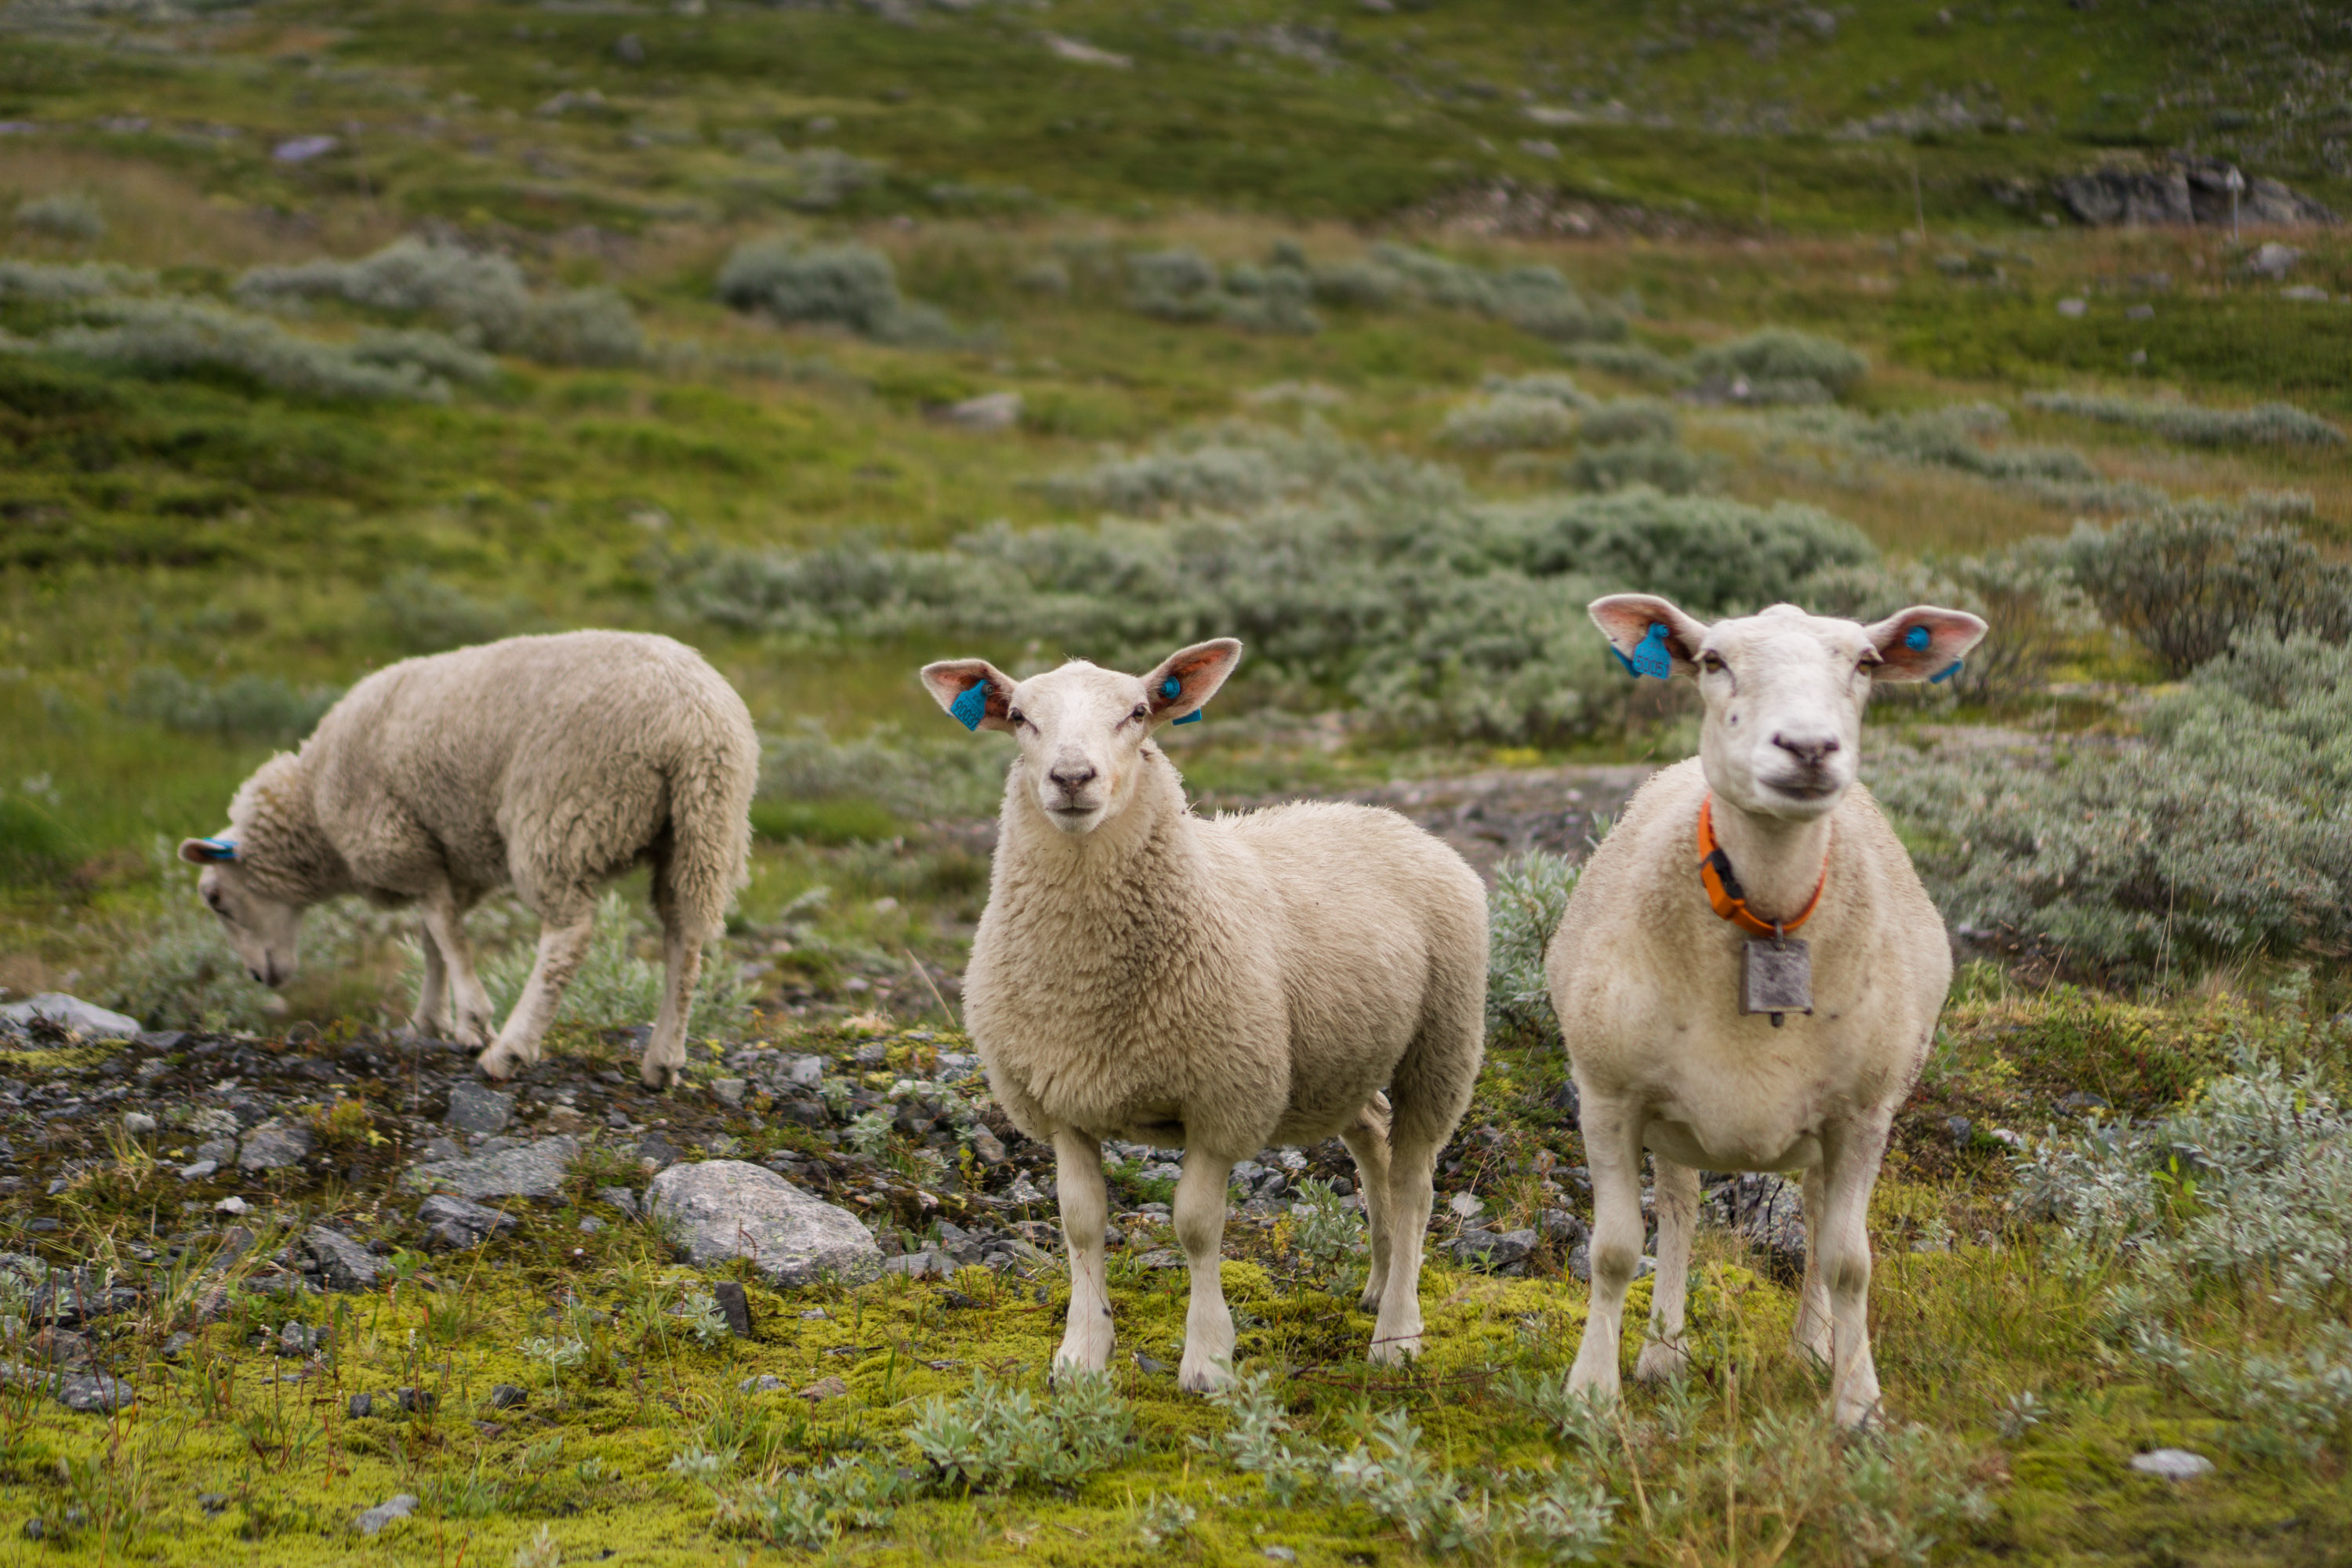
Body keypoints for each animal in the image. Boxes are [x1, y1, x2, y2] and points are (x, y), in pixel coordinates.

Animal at [179, 631, 757, 1089]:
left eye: (216, 898)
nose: (260, 978)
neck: (316, 806)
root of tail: (693, 723)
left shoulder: (397, 841)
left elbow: (444, 933)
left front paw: (473, 1021)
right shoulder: (452, 855)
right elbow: (435, 940)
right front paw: (433, 1022)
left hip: (562, 813)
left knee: (568, 938)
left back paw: (511, 1051)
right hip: (703, 831)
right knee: (685, 940)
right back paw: (662, 1061)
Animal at [920, 639, 1487, 1392]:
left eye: (1137, 712)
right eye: (1019, 717)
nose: (1072, 778)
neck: (1088, 987)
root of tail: (1391, 819)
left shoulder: (1222, 1100)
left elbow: (1195, 1226)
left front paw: (1208, 1359)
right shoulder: (1061, 1101)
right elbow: (1081, 1222)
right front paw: (1082, 1353)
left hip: (1442, 1042)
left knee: (1416, 1180)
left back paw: (1397, 1332)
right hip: (1341, 1055)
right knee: (1372, 1135)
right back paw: (1377, 1280)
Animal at [1545, 595, 1986, 1427]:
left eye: (1865, 663)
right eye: (1713, 661)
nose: (1808, 748)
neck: (1771, 913)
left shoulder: (1863, 1113)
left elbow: (1850, 1261)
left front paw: (1857, 1403)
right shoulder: (1608, 1096)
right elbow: (1614, 1249)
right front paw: (1592, 1393)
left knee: (1812, 1219)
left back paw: (1814, 1350)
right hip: (1672, 1121)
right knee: (1680, 1211)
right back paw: (1663, 1353)